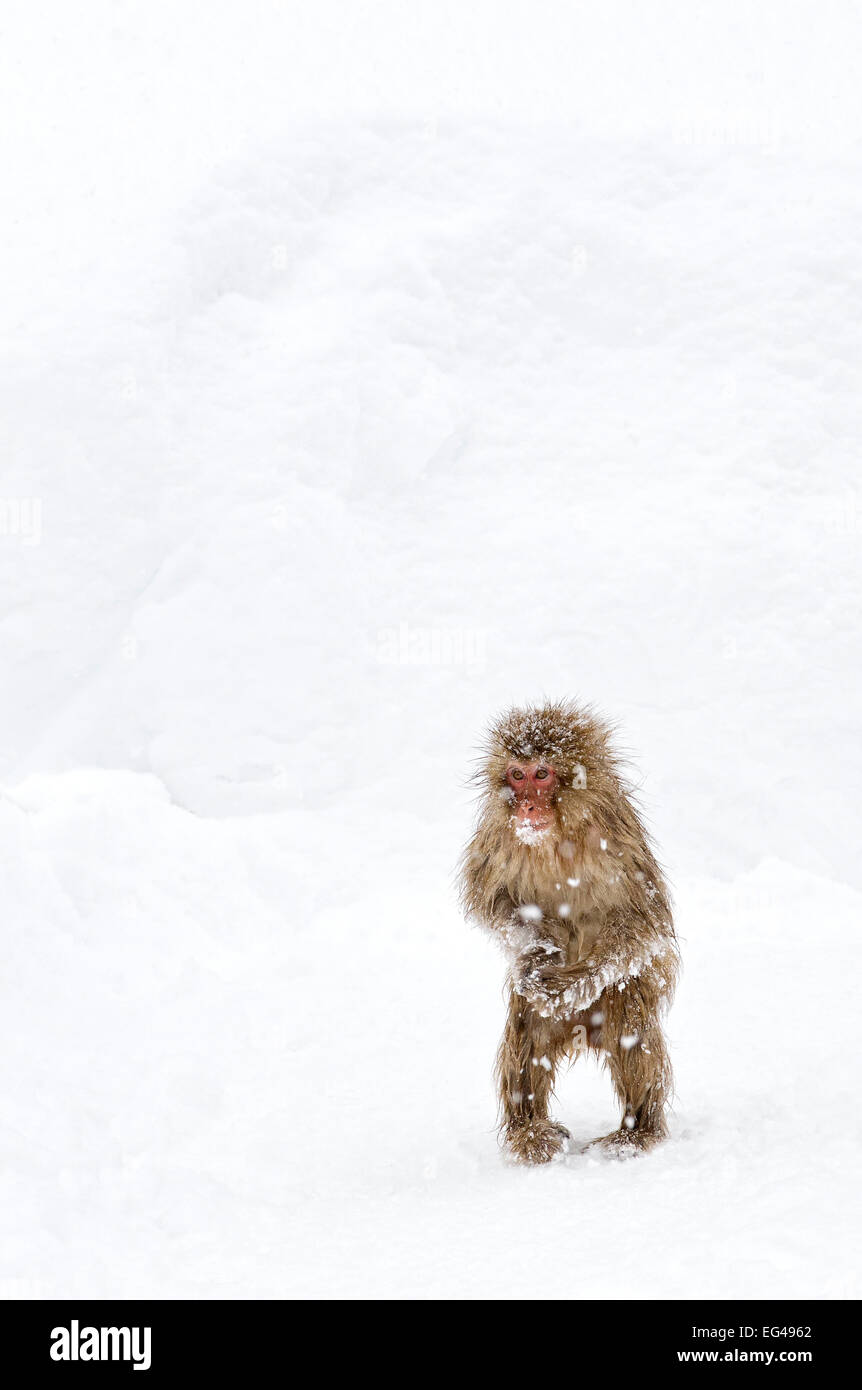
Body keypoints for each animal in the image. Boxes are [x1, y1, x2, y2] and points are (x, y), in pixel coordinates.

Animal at [459, 701, 678, 1163]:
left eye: (542, 774)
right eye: (517, 774)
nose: (525, 807)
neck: (557, 834)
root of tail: (583, 1031)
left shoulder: (617, 840)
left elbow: (643, 925)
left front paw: (571, 982)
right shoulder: (497, 834)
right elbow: (493, 901)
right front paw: (538, 953)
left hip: (619, 1000)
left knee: (630, 1019)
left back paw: (637, 1131)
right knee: (528, 1028)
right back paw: (529, 1131)